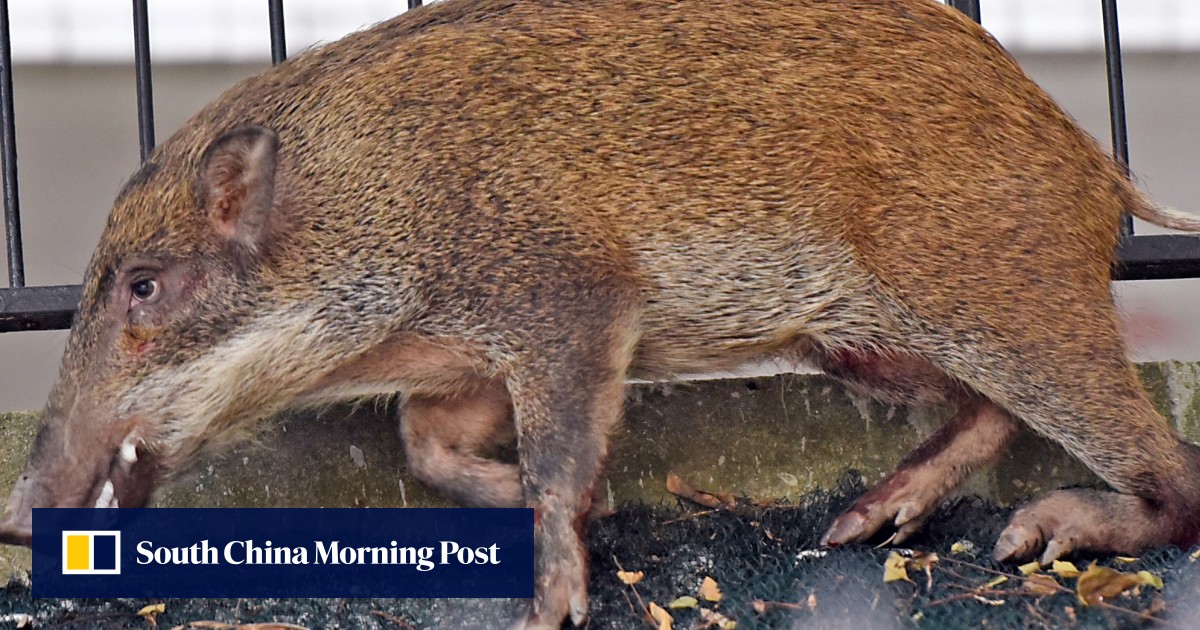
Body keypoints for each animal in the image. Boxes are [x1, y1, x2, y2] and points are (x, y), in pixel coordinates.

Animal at [3, 0, 1200, 627]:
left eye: (144, 284)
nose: (19, 512)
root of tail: (1095, 164)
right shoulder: (464, 363)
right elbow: (424, 444)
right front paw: (587, 515)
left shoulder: (571, 301)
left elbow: (558, 459)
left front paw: (554, 603)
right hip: (855, 338)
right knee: (984, 415)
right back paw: (862, 525)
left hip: (1005, 302)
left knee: (1172, 474)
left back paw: (1033, 535)